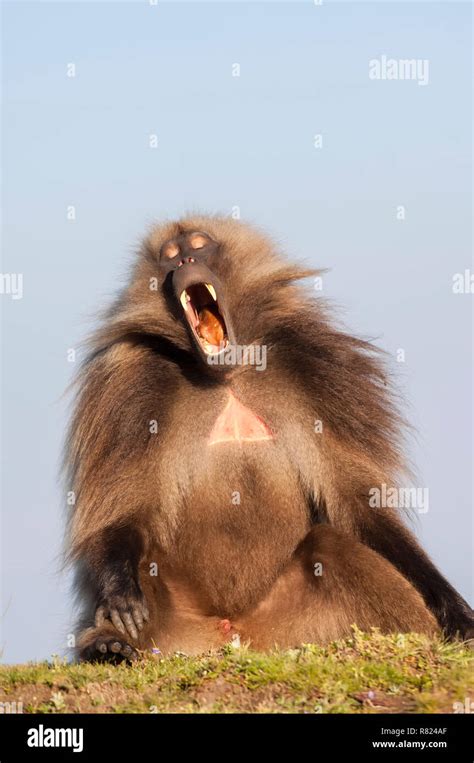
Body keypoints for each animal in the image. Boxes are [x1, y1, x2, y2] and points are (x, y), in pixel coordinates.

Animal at [64, 216, 473, 661]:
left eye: (199, 245)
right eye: (169, 256)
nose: (186, 261)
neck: (227, 376)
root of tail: (238, 631)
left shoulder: (320, 374)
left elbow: (359, 503)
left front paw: (453, 609)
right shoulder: (130, 390)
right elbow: (125, 508)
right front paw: (119, 591)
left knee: (331, 545)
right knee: (144, 555)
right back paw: (108, 645)